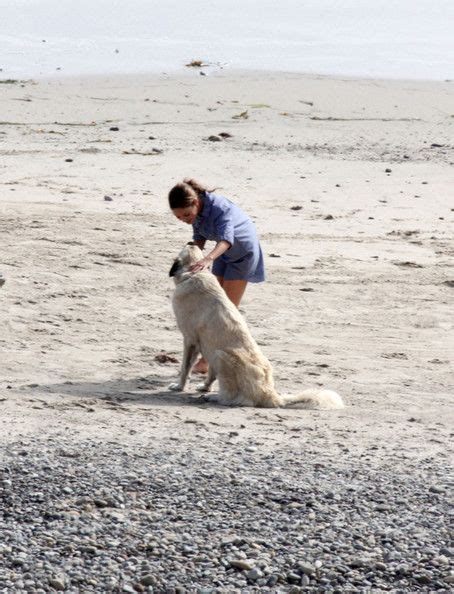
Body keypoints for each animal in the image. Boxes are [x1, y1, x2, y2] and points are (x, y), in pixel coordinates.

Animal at [169, 240, 344, 408]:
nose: (192, 242)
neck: (194, 273)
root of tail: (269, 394)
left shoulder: (190, 340)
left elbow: (185, 367)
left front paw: (179, 386)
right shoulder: (205, 344)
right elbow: (210, 374)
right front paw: (204, 387)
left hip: (221, 356)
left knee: (234, 398)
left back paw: (215, 397)